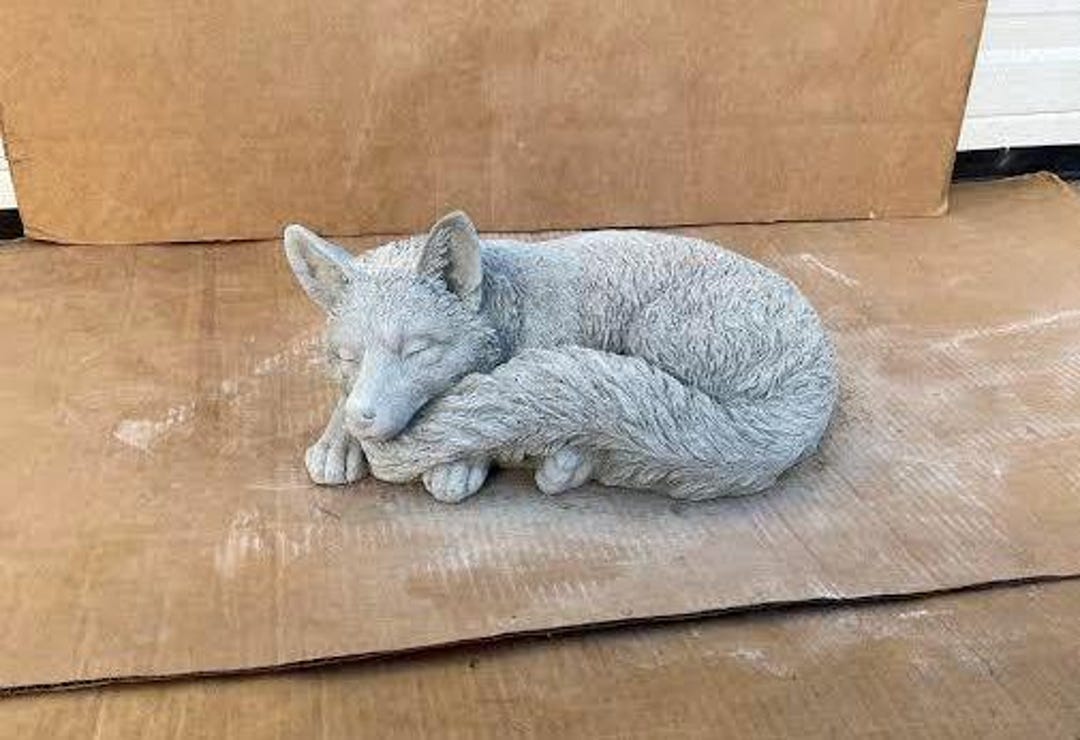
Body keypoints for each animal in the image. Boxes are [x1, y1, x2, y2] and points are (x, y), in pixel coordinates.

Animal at [284, 211, 837, 503]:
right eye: (346, 357)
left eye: (418, 350)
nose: (364, 417)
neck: (514, 312)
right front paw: (337, 440)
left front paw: (459, 465)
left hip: (658, 336)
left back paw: (567, 463)